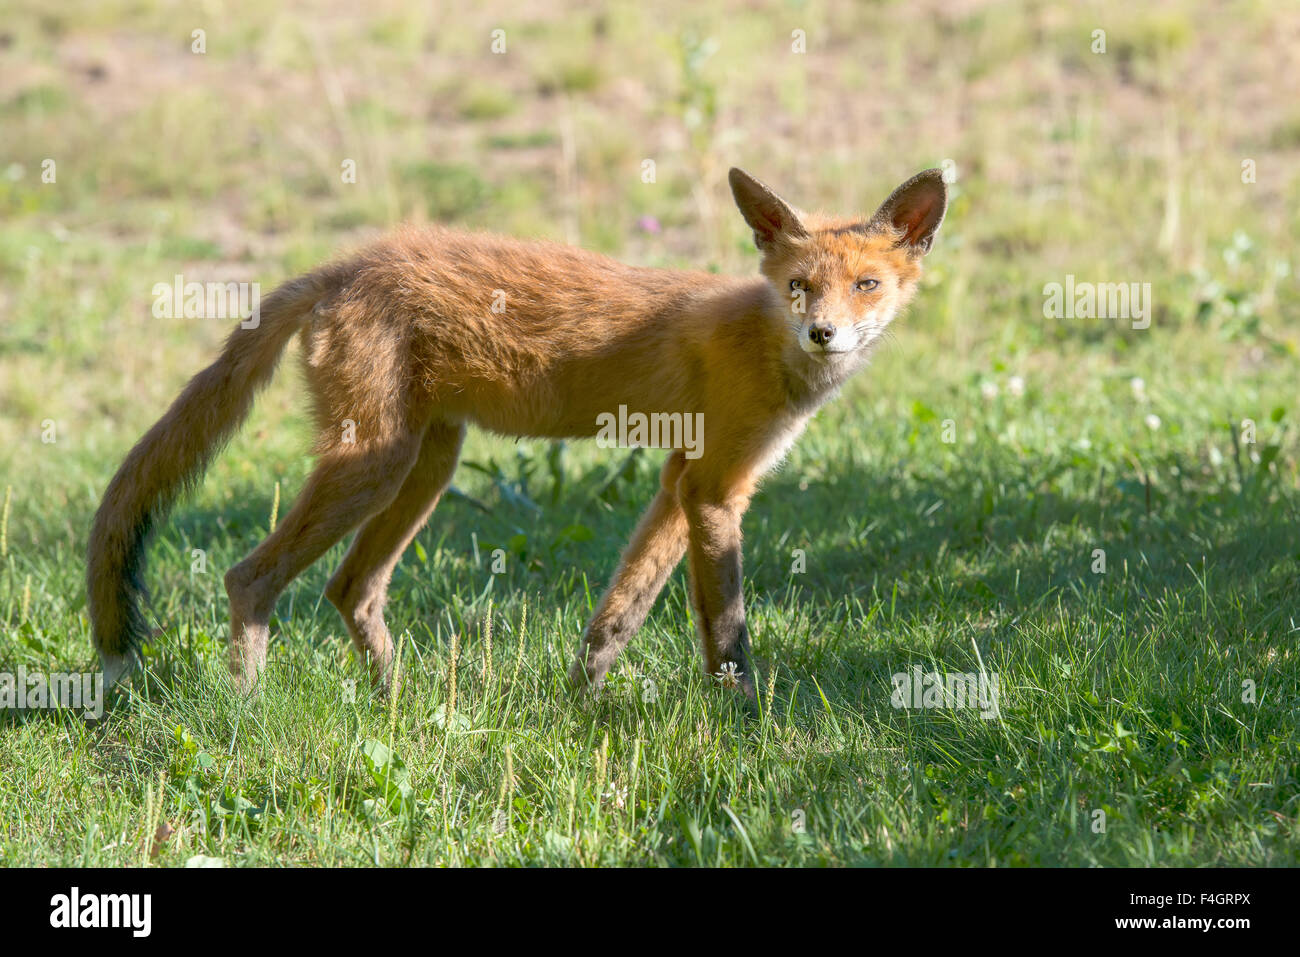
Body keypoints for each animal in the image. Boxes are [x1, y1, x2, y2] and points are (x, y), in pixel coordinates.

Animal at [86, 167, 947, 700]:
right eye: (799, 287)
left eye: (867, 284)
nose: (823, 335)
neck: (762, 343)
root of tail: (345, 263)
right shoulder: (714, 491)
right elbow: (728, 634)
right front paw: (742, 719)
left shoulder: (680, 483)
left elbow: (618, 615)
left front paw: (580, 701)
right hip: (371, 469)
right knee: (250, 577)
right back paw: (246, 706)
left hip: (423, 467)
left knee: (350, 589)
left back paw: (398, 706)